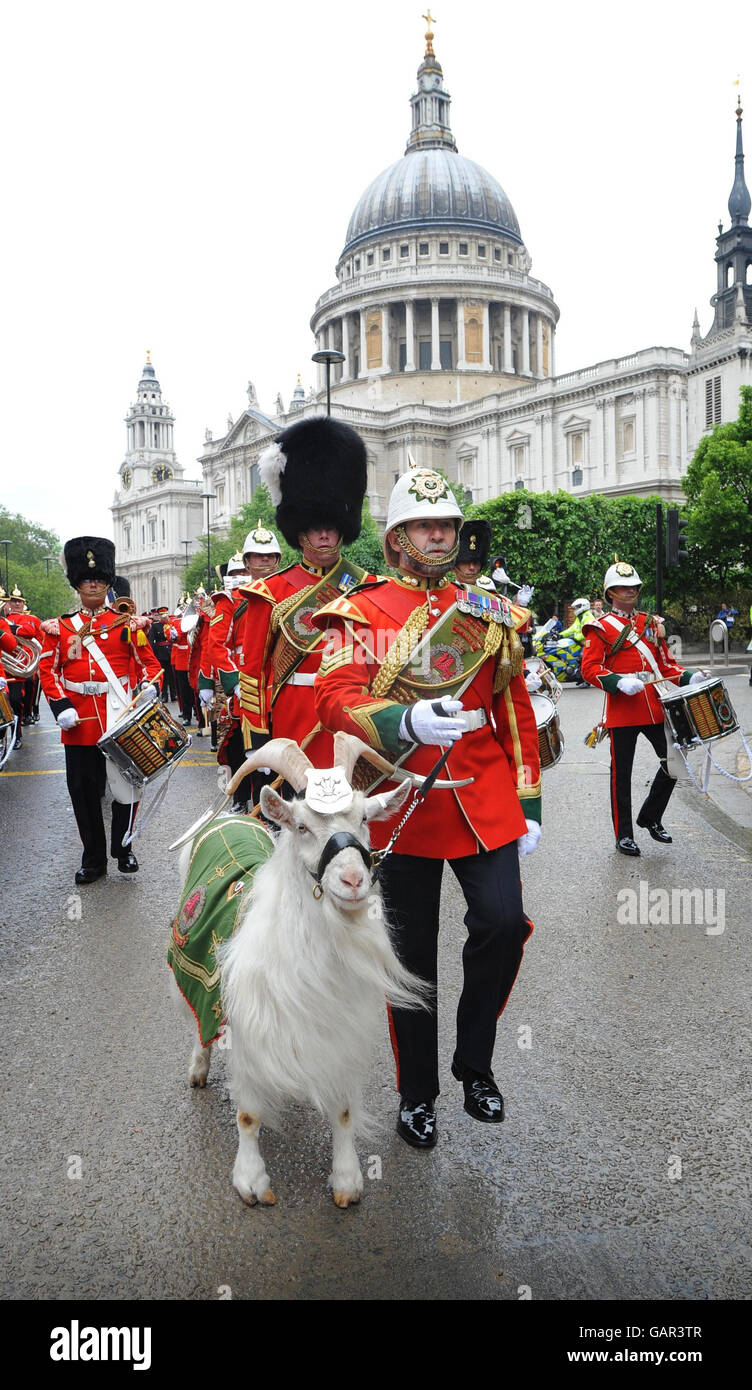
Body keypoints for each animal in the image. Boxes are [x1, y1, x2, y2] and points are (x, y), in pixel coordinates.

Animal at [170, 734, 448, 1208]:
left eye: (364, 818)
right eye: (301, 826)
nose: (353, 880)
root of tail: (230, 818)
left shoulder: (339, 1034)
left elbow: (343, 1111)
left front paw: (347, 1179)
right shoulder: (249, 1025)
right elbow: (248, 1115)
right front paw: (251, 1180)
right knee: (198, 1022)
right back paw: (199, 1069)